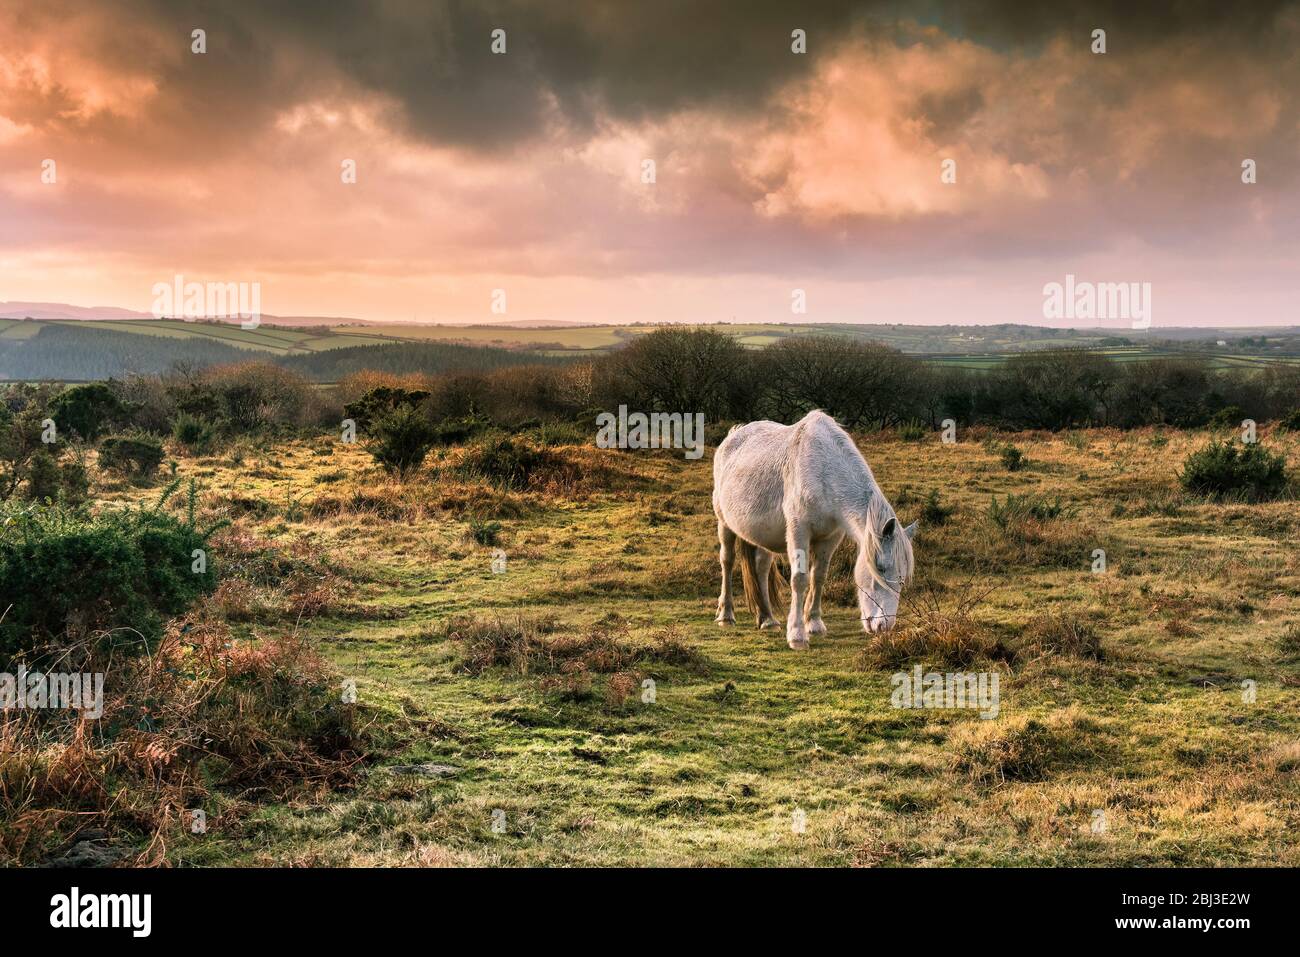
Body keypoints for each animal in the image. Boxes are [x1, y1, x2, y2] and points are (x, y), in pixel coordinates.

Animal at [711, 410, 916, 650]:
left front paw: (815, 624)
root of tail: (732, 436)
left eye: (902, 576)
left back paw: (768, 619)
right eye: (881, 568)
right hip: (724, 524)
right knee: (727, 561)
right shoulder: (799, 530)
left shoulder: (830, 537)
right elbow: (800, 579)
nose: (884, 626)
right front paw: (797, 634)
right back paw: (726, 615)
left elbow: (818, 577)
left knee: (761, 567)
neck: (824, 472)